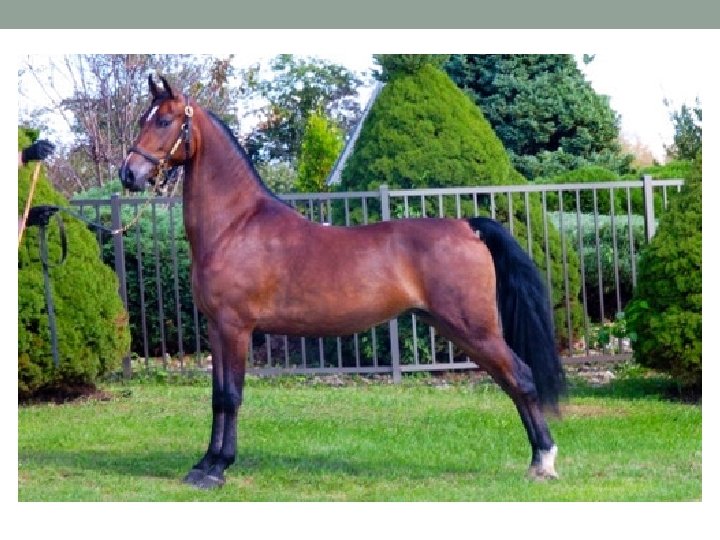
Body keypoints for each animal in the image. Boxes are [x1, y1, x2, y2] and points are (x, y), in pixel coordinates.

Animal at [119, 75, 565, 489]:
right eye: (143, 118)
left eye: (163, 120)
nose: (128, 174)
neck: (236, 225)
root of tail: (466, 226)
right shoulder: (216, 328)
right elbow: (217, 397)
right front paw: (204, 465)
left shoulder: (236, 327)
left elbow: (231, 396)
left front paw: (218, 469)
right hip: (458, 329)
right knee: (510, 381)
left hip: (476, 329)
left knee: (522, 378)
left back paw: (543, 462)